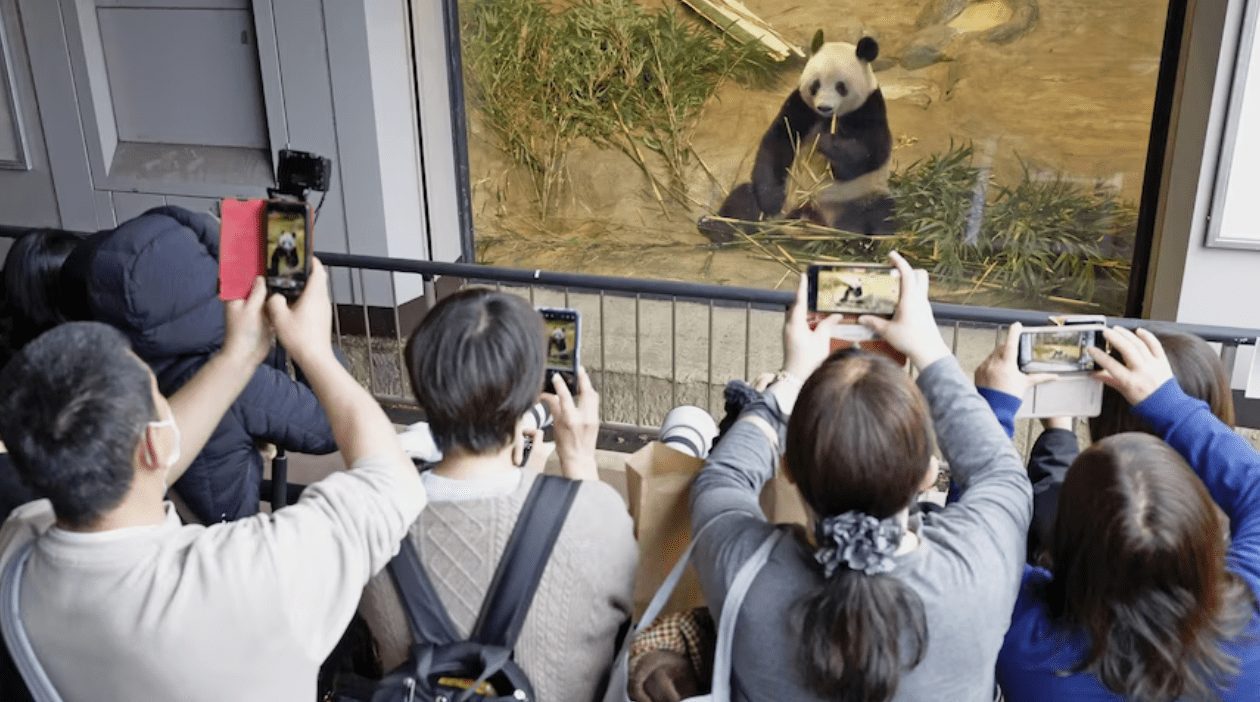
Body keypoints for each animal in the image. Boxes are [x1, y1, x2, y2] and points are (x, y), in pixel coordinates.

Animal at [716, 32, 895, 237]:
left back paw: (858, 237)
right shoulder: (800, 106)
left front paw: (828, 143)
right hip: (786, 200)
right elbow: (778, 141)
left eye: (841, 87)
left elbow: (869, 154)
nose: (824, 107)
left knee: (879, 213)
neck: (828, 118)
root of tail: (811, 214)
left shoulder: (869, 108)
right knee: (744, 198)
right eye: (815, 85)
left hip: (859, 195)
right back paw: (718, 226)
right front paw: (771, 200)